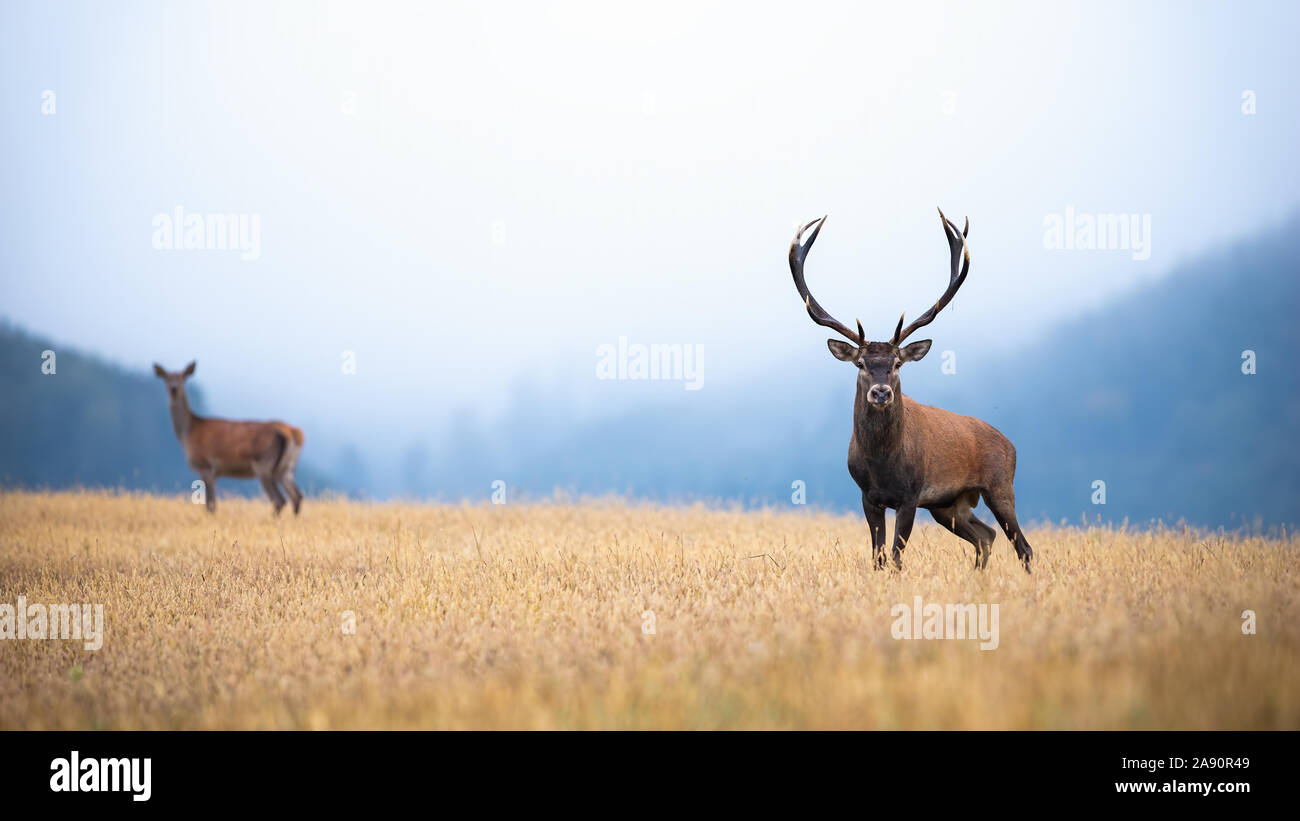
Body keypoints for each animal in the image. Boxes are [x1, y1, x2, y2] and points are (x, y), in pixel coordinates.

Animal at [152, 361, 305, 516]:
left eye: (183, 378)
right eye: (166, 378)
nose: (174, 389)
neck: (188, 433)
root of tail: (294, 433)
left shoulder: (205, 466)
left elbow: (210, 505)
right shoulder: (215, 472)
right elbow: (212, 503)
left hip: (264, 464)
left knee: (279, 499)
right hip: (285, 468)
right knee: (296, 495)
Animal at [788, 209, 1033, 573]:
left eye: (897, 363)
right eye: (860, 363)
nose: (881, 393)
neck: (882, 464)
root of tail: (1011, 444)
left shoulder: (911, 495)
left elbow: (895, 555)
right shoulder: (868, 496)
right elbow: (878, 556)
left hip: (999, 484)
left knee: (1022, 545)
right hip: (949, 504)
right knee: (985, 535)